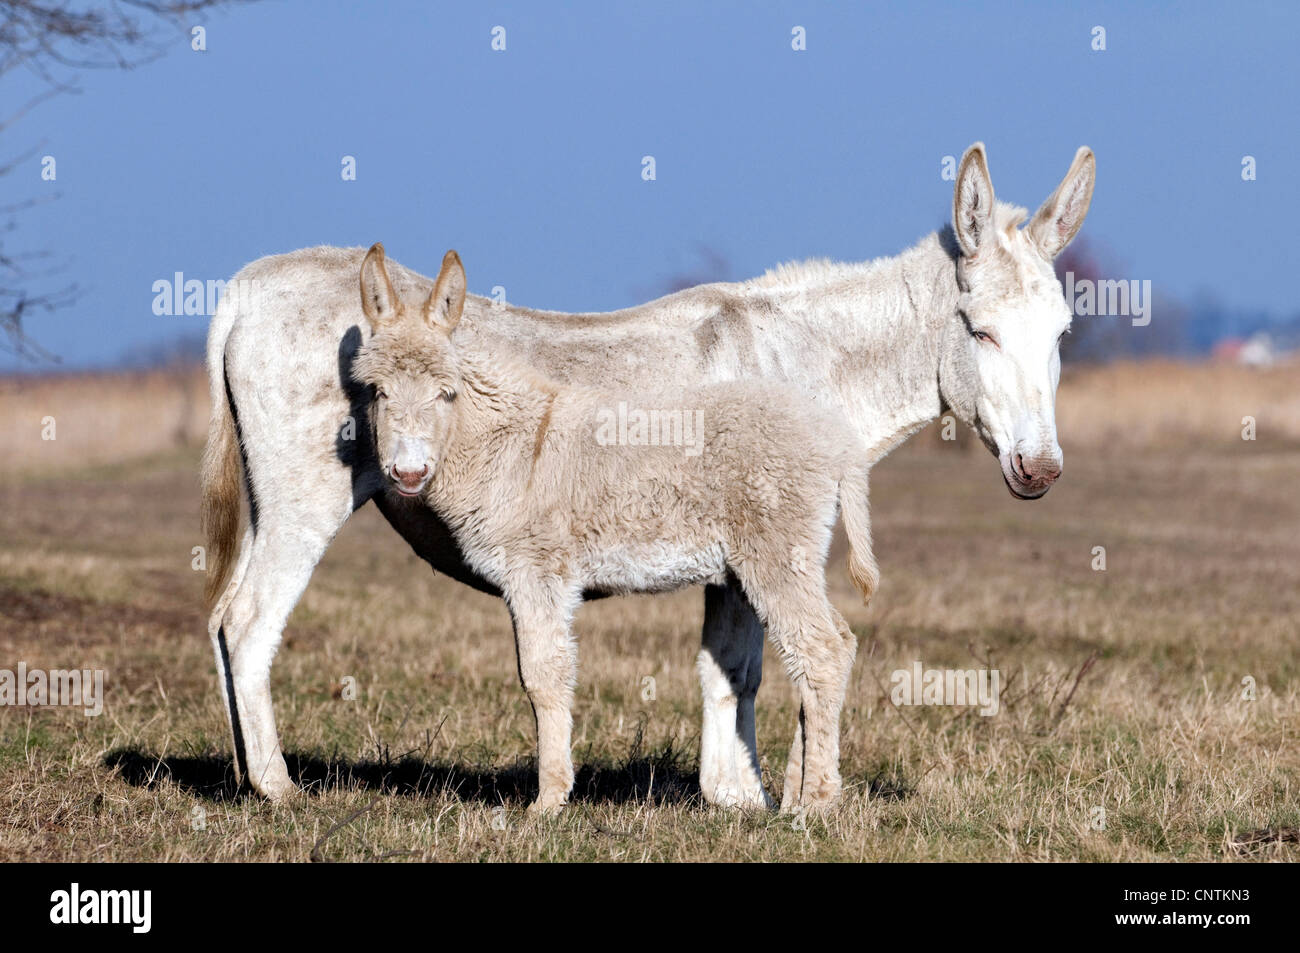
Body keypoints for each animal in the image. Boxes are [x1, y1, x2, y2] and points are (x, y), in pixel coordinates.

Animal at [356, 245, 878, 811]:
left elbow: (543, 676)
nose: (408, 474)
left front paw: (547, 802)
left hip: (777, 552)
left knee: (821, 651)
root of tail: (836, 440)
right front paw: (554, 793)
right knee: (839, 642)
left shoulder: (536, 572)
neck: (512, 445)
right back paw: (806, 795)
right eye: (378, 393)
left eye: (446, 394)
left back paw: (815, 804)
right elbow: (548, 672)